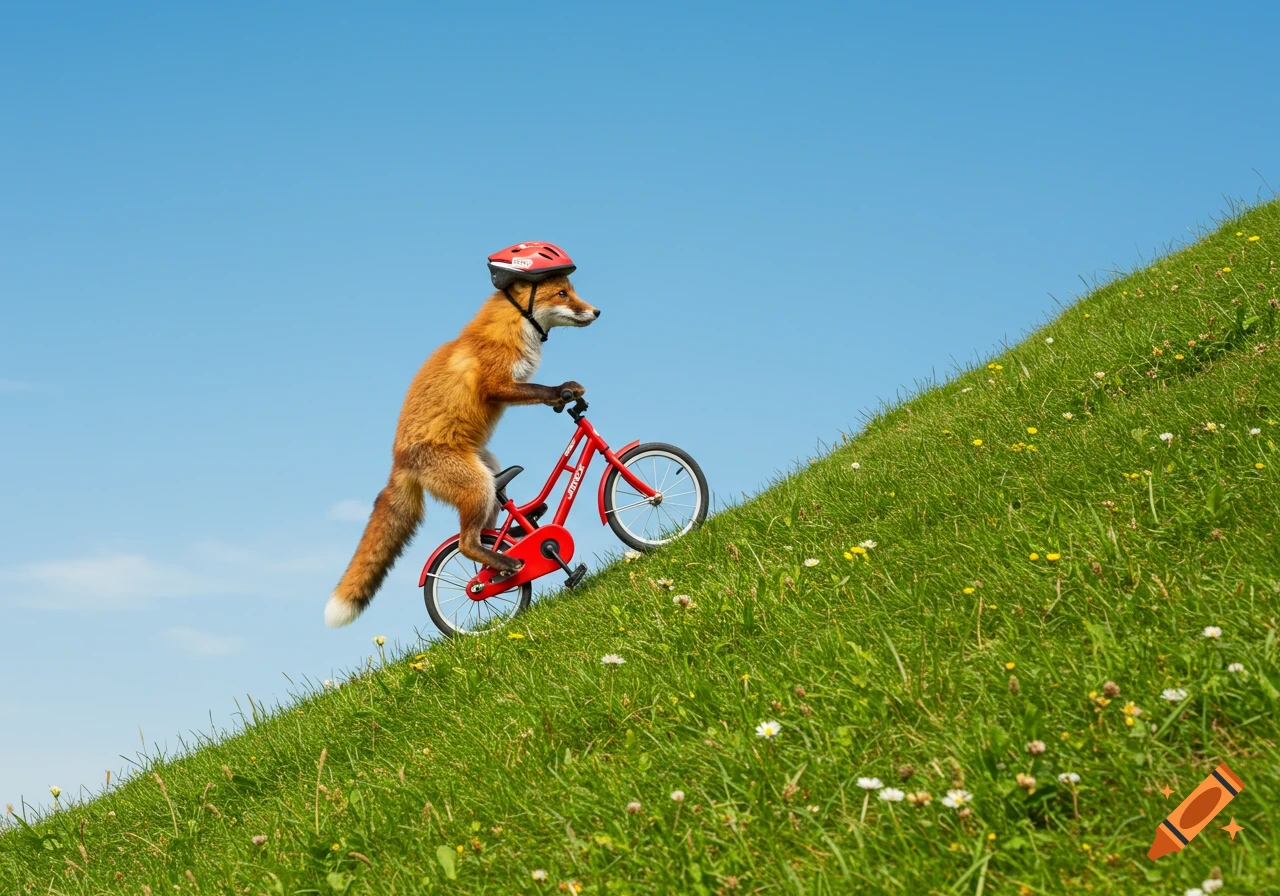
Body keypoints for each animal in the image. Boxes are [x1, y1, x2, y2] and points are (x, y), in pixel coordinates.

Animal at [324, 273, 599, 627]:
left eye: (572, 291)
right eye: (562, 293)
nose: (596, 311)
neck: (509, 331)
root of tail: (398, 464)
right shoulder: (498, 384)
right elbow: (537, 389)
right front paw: (562, 391)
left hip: (488, 471)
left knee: (488, 528)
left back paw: (511, 540)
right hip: (477, 486)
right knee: (467, 544)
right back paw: (506, 562)